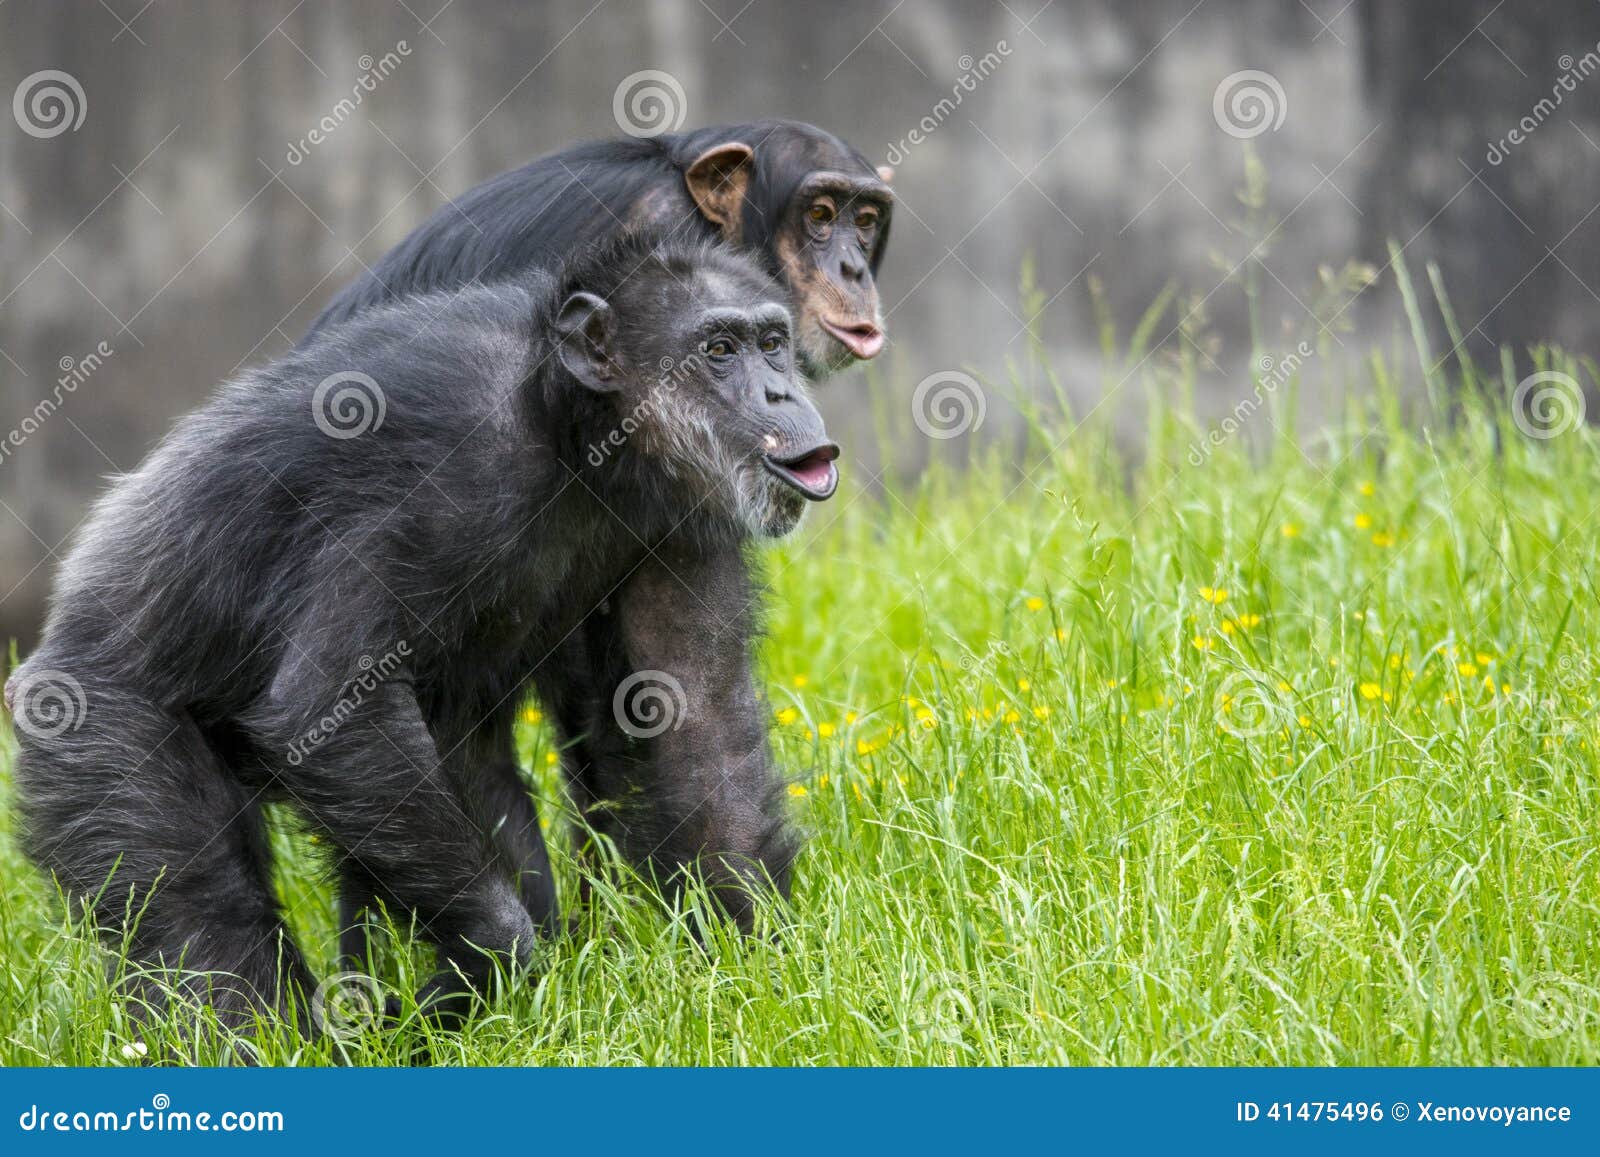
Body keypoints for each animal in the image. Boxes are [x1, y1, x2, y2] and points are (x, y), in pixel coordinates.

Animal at [6, 230, 838, 1030]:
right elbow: (328, 702)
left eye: (771, 342)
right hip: (96, 729)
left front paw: (758, 969)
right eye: (719, 349)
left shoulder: (686, 522)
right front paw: (486, 951)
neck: (575, 431)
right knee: (194, 909)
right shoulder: (441, 473)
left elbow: (697, 714)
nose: (780, 388)